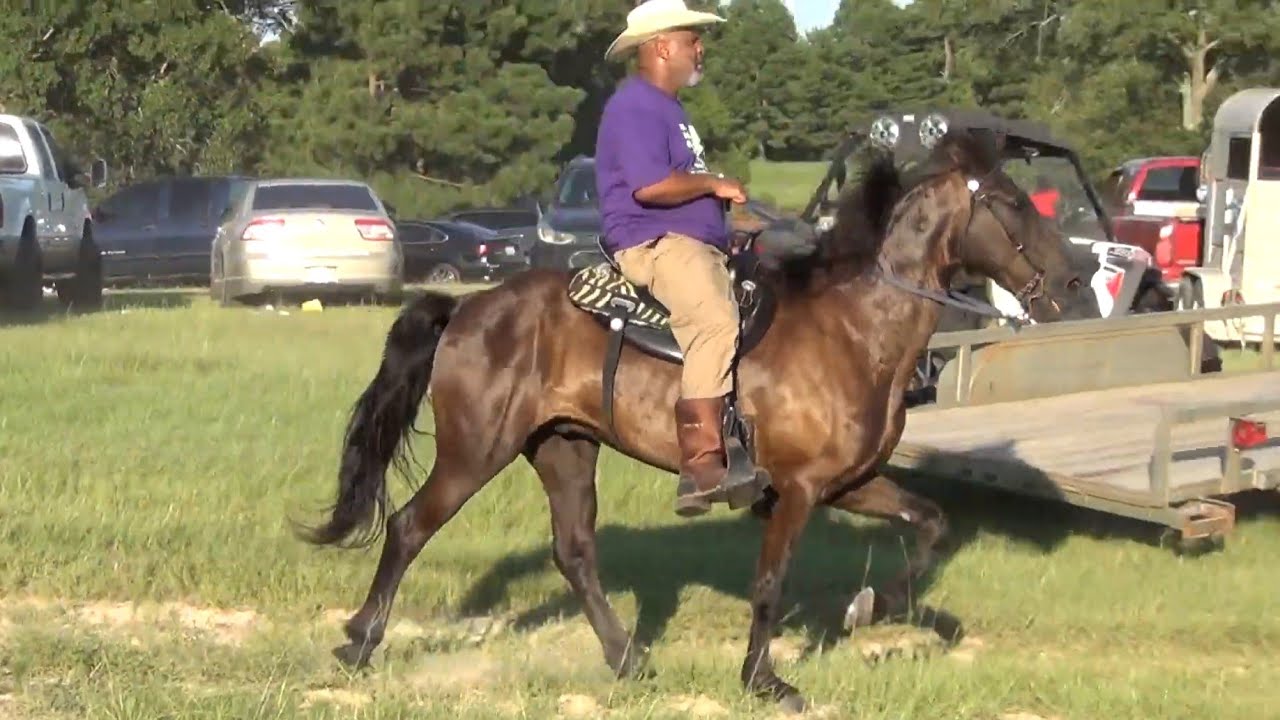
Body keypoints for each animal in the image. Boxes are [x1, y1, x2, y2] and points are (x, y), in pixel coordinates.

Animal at [297, 129, 1096, 712]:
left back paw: (626, 658)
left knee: (574, 552)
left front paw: (870, 608)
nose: (1074, 280)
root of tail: (467, 308)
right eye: (1012, 202)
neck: (852, 328)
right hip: (474, 451)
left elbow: (932, 525)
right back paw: (359, 641)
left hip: (564, 449)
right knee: (408, 527)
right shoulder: (798, 491)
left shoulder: (850, 483)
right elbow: (770, 582)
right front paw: (765, 680)